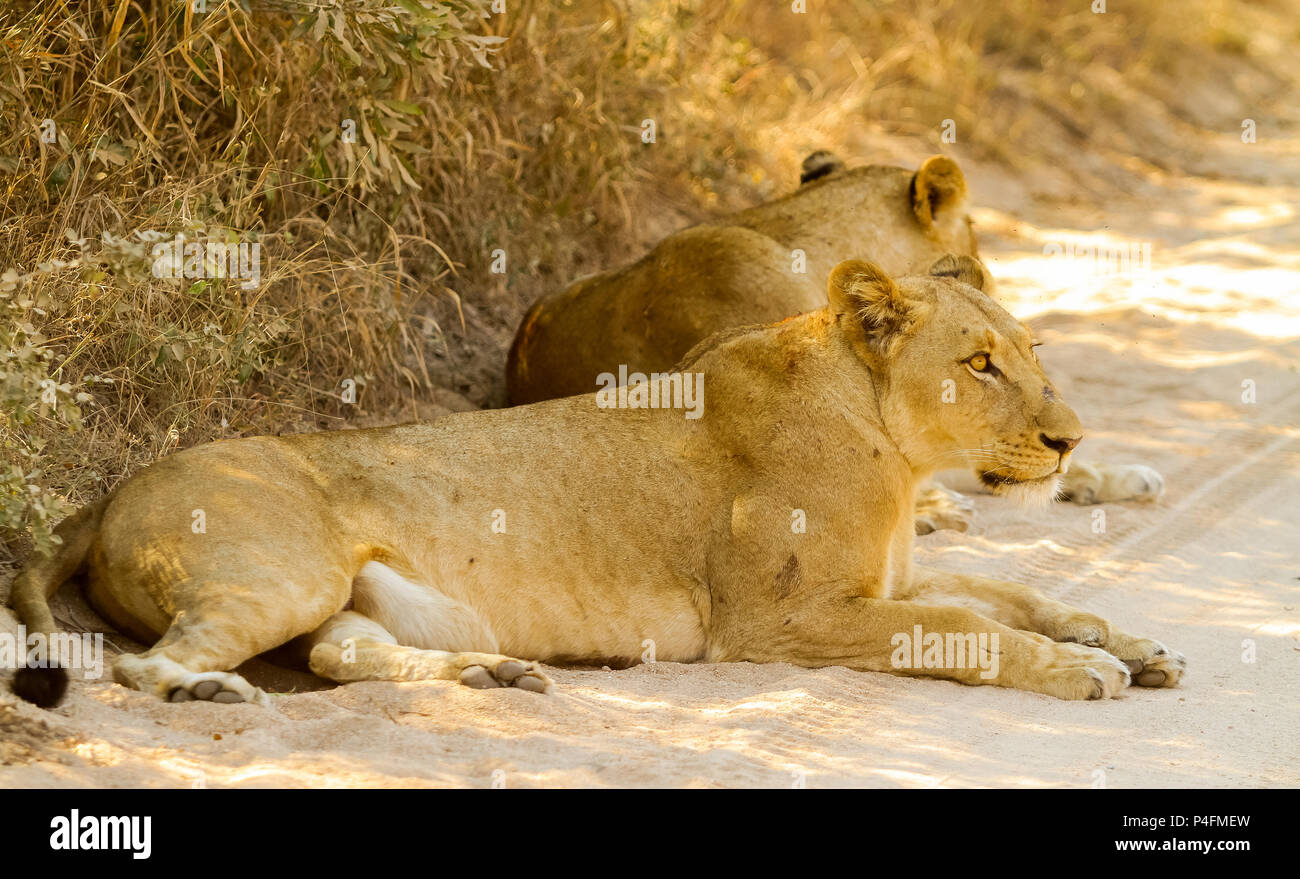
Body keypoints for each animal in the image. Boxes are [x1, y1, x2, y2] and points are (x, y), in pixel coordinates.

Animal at [9, 256, 1184, 707]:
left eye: (1030, 353)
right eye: (980, 364)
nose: (1071, 442)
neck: (894, 454)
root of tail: (110, 491)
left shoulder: (879, 585)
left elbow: (1015, 593)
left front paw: (1132, 642)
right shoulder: (781, 620)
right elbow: (971, 626)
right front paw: (1085, 669)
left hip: (346, 597)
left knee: (345, 653)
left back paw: (494, 675)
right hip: (282, 570)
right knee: (143, 666)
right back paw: (206, 691)